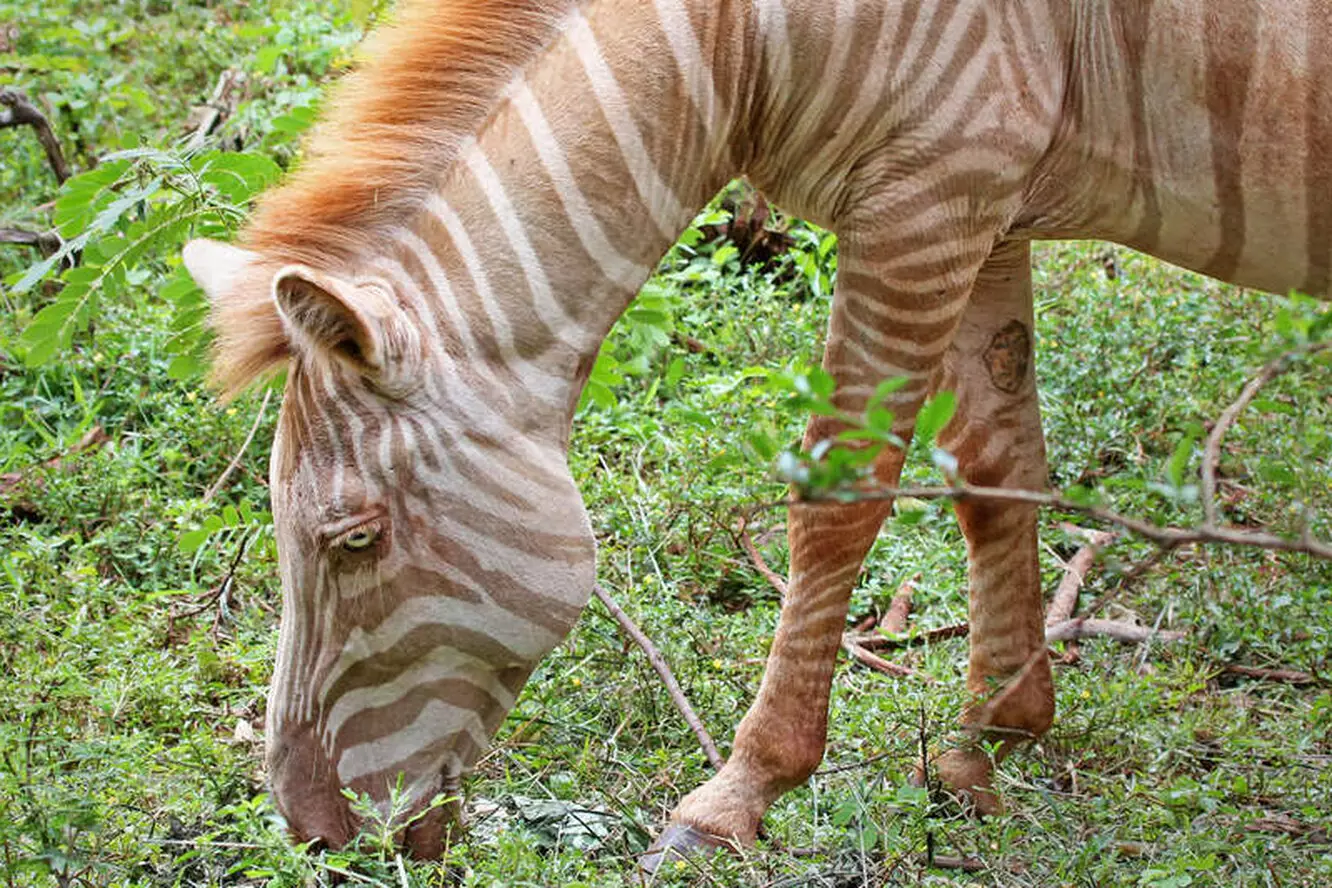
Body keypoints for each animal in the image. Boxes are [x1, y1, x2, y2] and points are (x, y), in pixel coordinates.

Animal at [182, 0, 1326, 868]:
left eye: (353, 540)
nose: (311, 834)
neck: (745, 41)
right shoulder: (988, 209)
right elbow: (996, 469)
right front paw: (990, 742)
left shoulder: (928, 200)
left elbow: (839, 502)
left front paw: (738, 795)